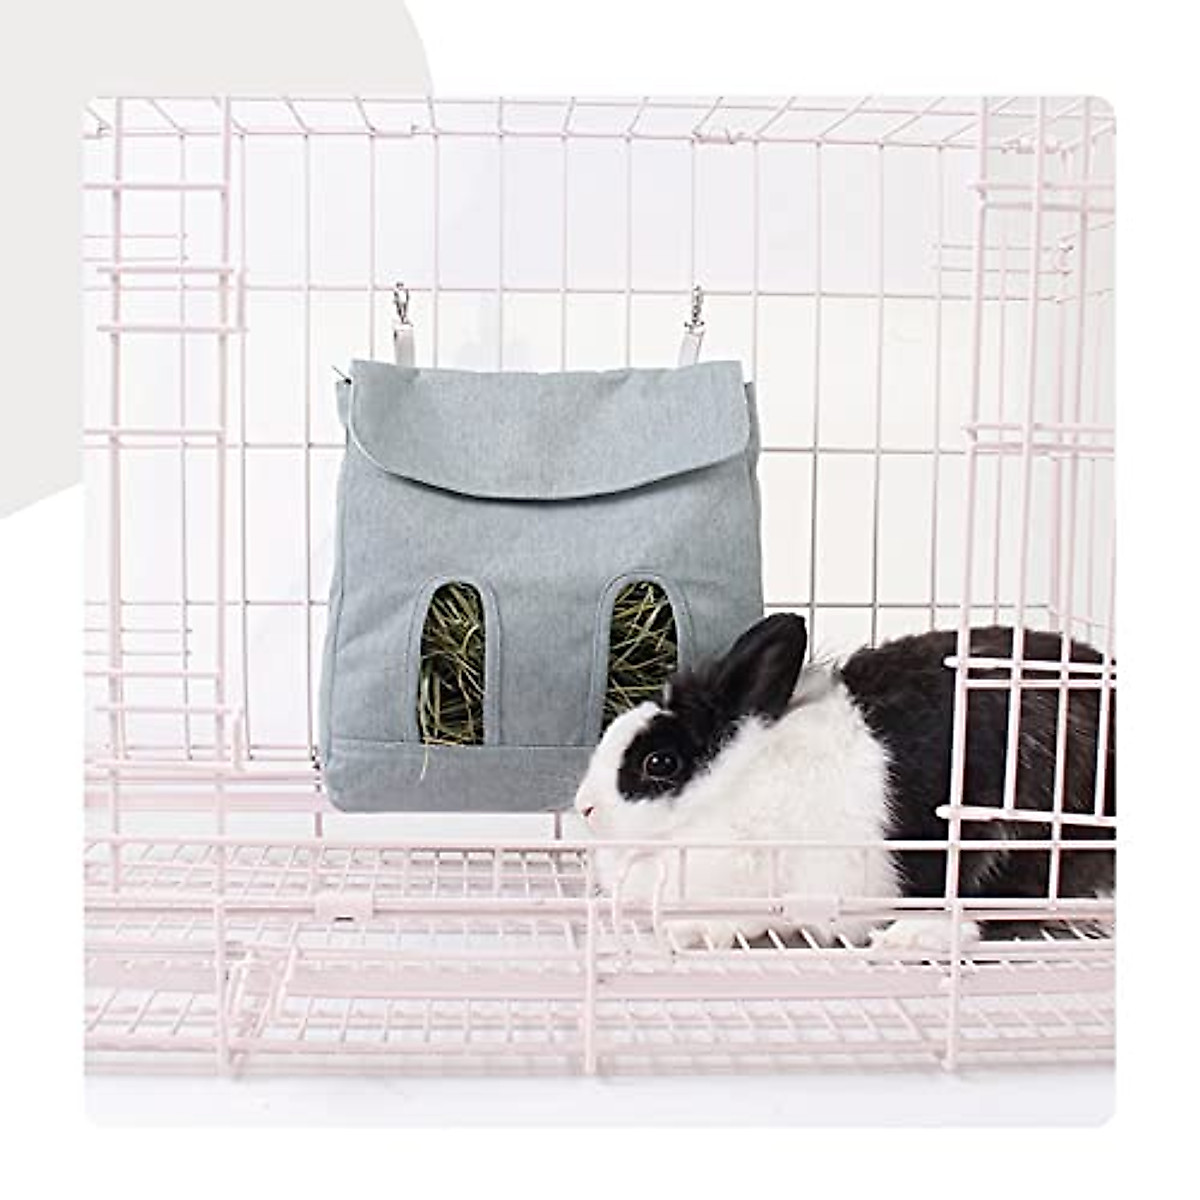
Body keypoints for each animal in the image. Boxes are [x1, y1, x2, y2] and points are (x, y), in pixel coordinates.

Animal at [573, 613, 1115, 952]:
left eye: (659, 762)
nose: (584, 808)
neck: (732, 788)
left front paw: (694, 932)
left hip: (1006, 843)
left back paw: (910, 938)